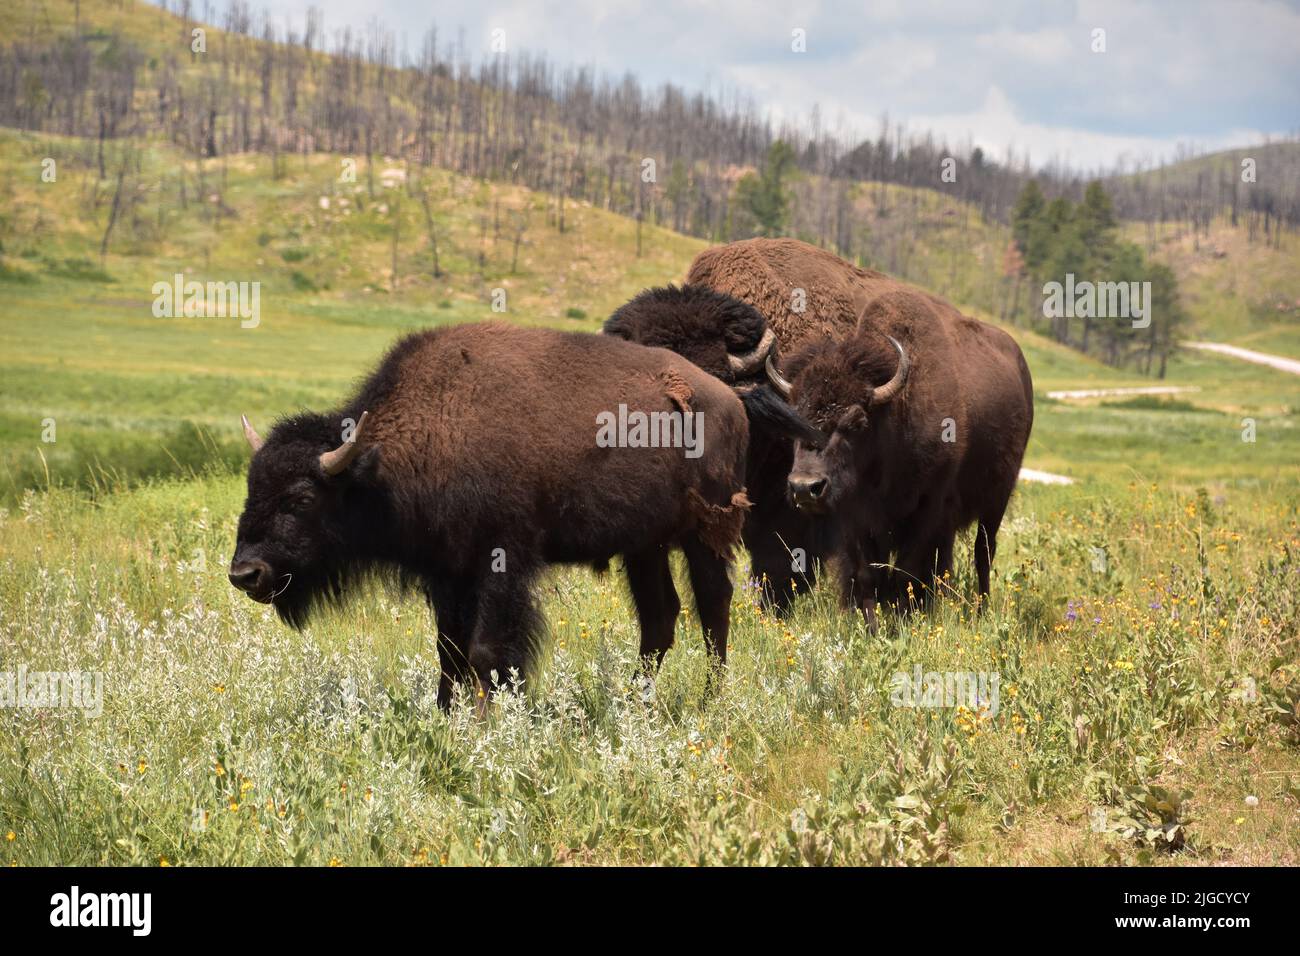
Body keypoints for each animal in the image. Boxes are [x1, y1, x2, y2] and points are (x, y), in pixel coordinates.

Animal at [229, 322, 750, 707]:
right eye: (252, 488)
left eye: (301, 499)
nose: (245, 573)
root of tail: (730, 401)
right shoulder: (447, 572)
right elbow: (450, 650)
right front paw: (445, 715)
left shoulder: (500, 563)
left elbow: (486, 651)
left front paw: (485, 721)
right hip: (645, 545)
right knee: (659, 618)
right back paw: (633, 703)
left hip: (706, 532)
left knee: (713, 605)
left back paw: (710, 700)